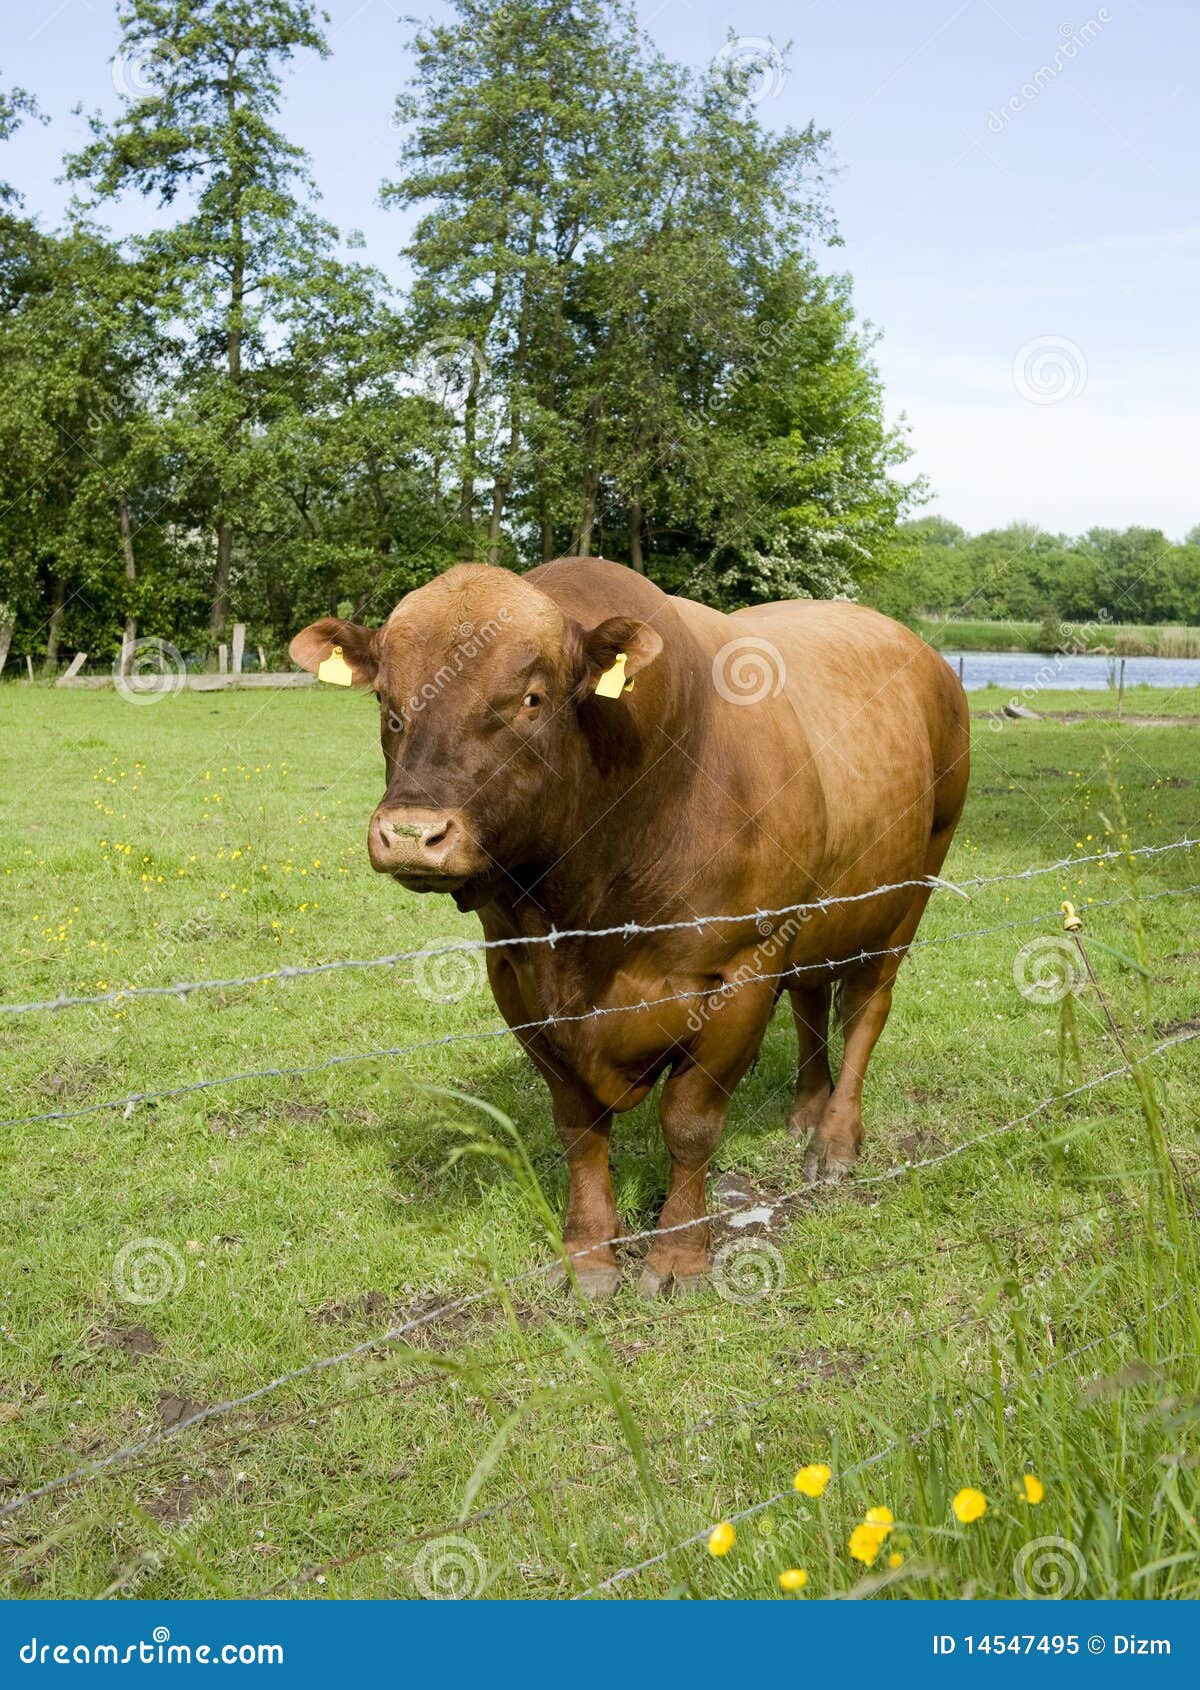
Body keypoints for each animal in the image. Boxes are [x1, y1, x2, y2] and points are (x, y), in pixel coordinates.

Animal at [290, 558, 969, 1297]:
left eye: (532, 698)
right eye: (386, 700)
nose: (412, 834)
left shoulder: (743, 964)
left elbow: (691, 1122)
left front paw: (679, 1256)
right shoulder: (515, 973)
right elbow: (578, 1125)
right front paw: (589, 1252)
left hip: (912, 888)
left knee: (866, 1010)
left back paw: (835, 1141)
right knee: (814, 1000)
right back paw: (804, 1114)